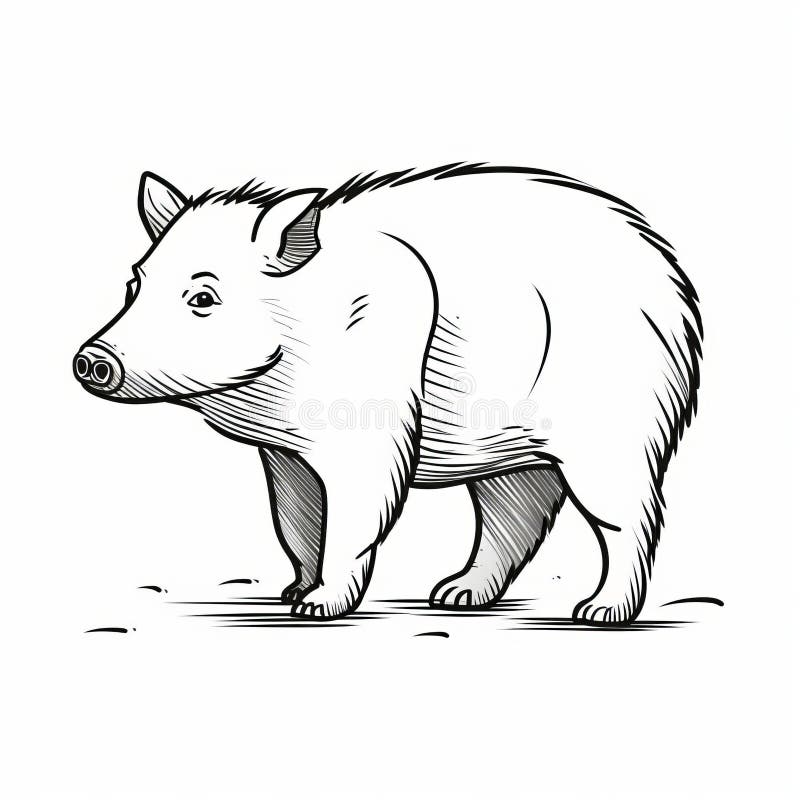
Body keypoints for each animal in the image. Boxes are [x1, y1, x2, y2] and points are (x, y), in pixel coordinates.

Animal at [74, 163, 702, 624]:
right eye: (133, 283)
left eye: (203, 297)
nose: (91, 360)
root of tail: (676, 288)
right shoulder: (283, 452)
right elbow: (295, 520)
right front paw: (292, 593)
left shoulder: (373, 427)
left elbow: (356, 515)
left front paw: (318, 607)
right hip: (507, 445)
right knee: (518, 508)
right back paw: (453, 596)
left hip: (615, 422)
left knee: (629, 514)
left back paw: (597, 613)